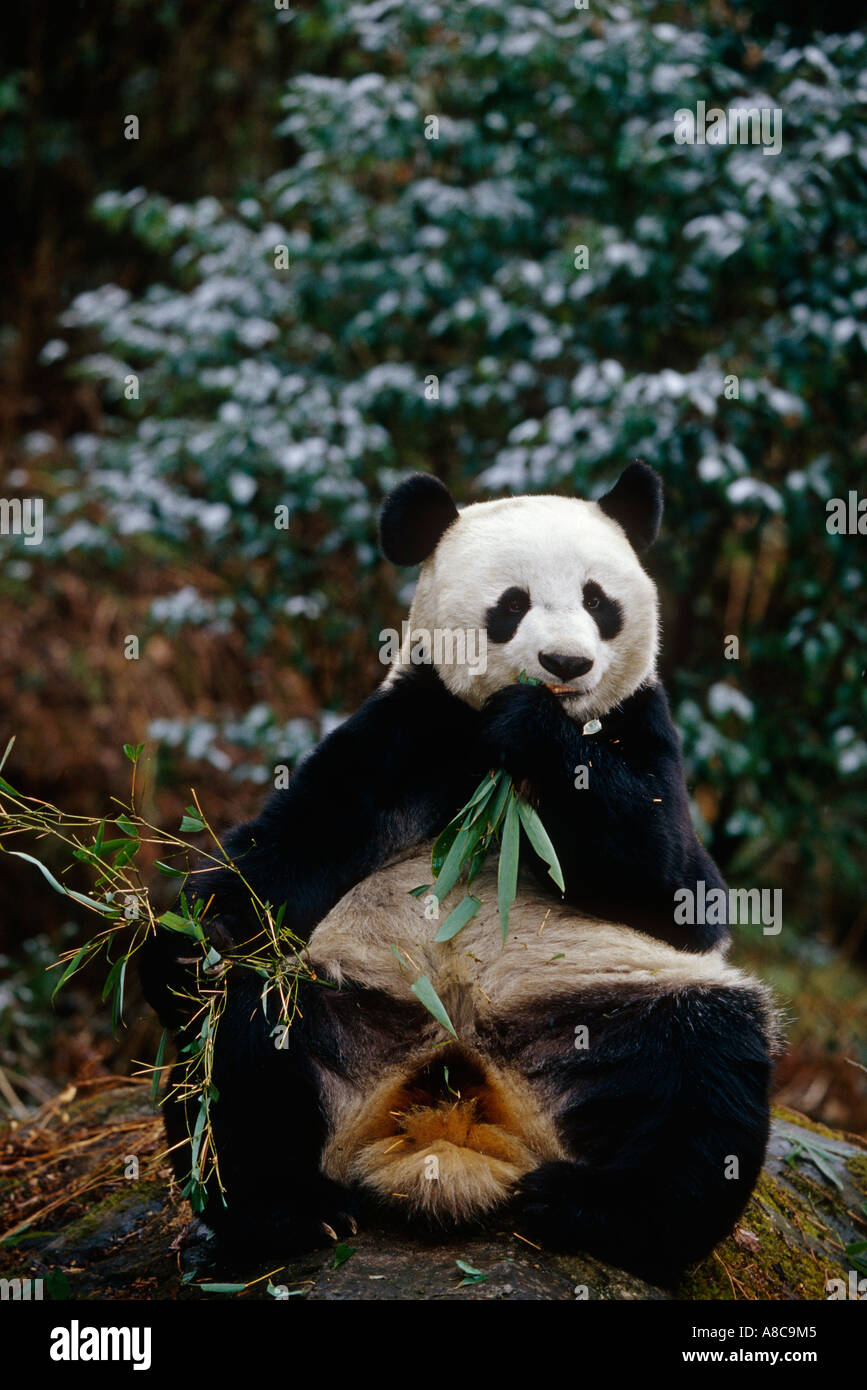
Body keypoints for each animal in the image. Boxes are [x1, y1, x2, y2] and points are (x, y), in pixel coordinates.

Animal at [141, 463, 777, 1286]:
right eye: (511, 606)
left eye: (597, 602)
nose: (565, 666)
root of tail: (457, 1111)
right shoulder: (413, 724)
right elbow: (292, 845)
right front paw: (181, 939)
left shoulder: (641, 728)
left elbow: (682, 892)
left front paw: (534, 733)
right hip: (334, 1000)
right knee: (238, 1029)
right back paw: (286, 1211)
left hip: (601, 1014)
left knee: (707, 1067)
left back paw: (590, 1210)